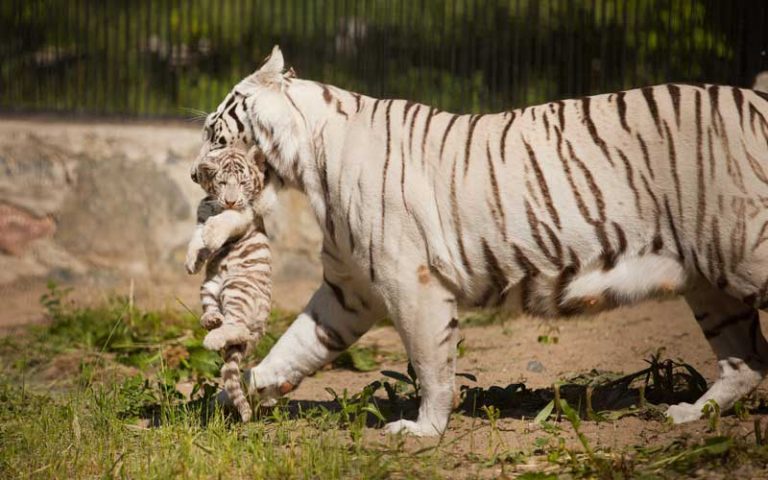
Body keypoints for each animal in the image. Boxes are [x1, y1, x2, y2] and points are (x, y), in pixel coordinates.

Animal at [185, 145, 273, 422]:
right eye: (223, 183)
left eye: (243, 183)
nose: (231, 200)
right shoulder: (201, 216)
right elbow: (196, 237)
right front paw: (192, 261)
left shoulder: (245, 215)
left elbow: (229, 218)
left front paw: (213, 235)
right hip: (209, 286)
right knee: (218, 314)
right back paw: (212, 320)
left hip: (237, 286)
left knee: (239, 327)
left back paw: (213, 338)